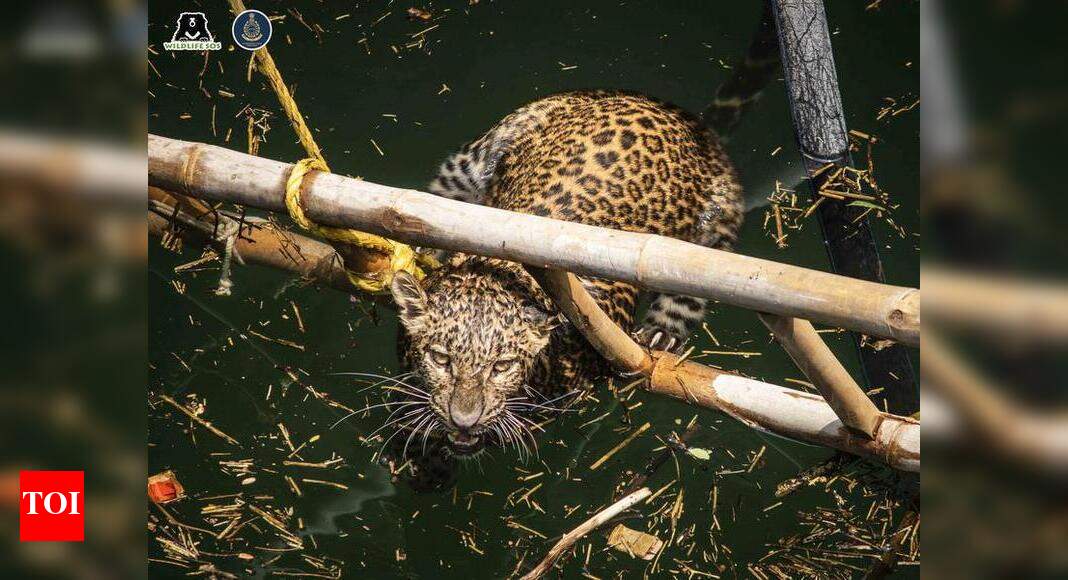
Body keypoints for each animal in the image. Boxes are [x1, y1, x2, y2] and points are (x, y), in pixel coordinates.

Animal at [387, 90, 743, 459]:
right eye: (440, 359)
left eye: (502, 366)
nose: (464, 420)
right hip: (469, 161)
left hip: (718, 219)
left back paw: (661, 335)